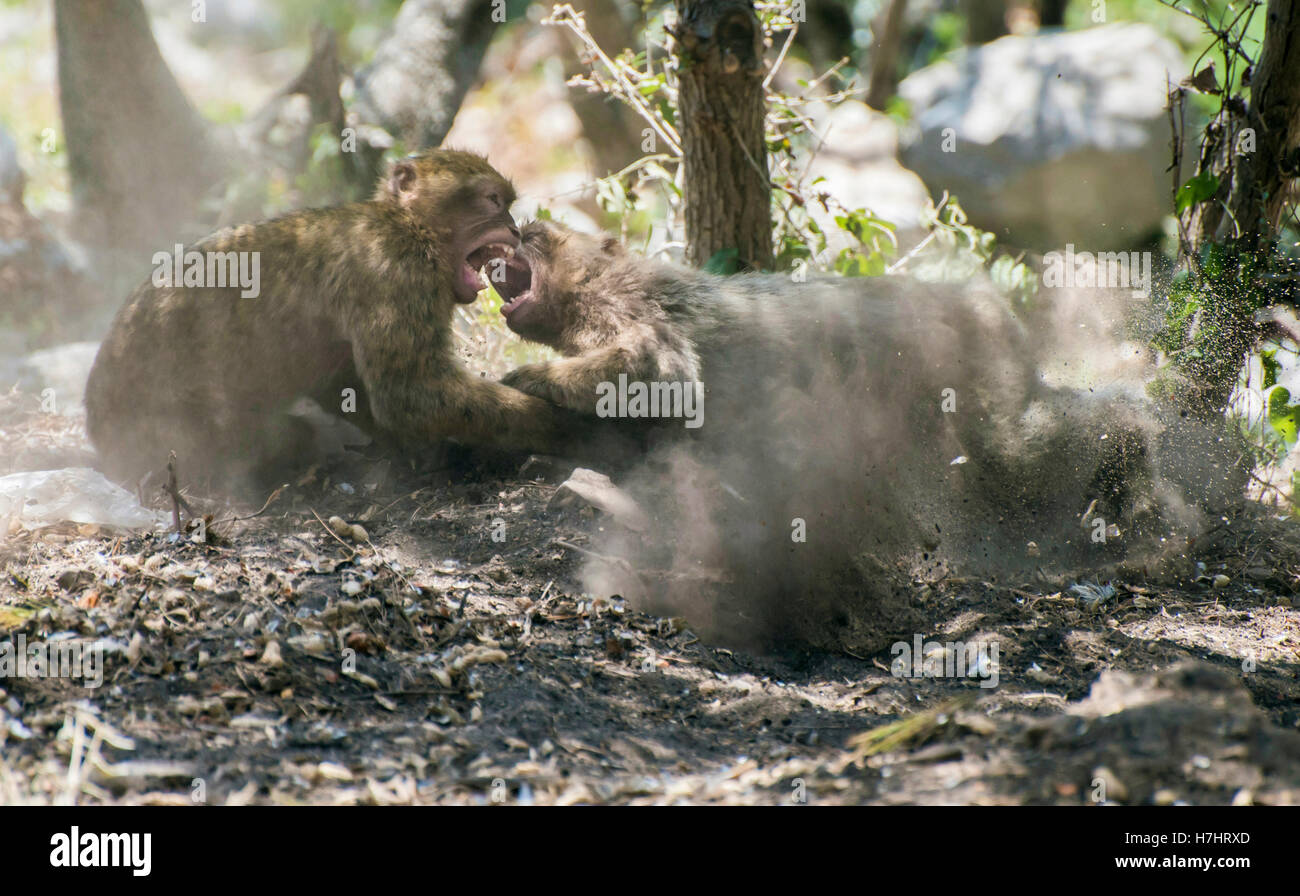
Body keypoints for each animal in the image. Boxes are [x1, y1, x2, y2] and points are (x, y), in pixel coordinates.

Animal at [85, 150, 584, 492]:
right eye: (492, 200)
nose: (514, 229)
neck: (409, 225)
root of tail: (98, 430)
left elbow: (348, 385)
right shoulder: (395, 267)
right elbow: (409, 391)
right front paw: (555, 425)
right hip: (170, 435)